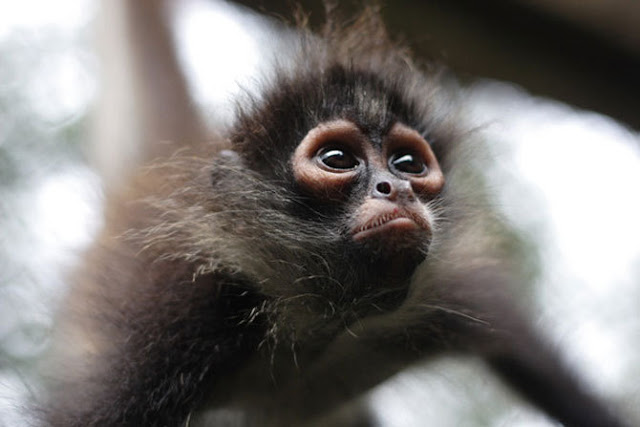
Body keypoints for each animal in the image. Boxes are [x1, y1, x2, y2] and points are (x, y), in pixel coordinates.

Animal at [41, 2, 629, 427]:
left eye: (408, 163)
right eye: (338, 160)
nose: (396, 189)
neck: (324, 326)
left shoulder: (445, 290)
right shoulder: (184, 314)